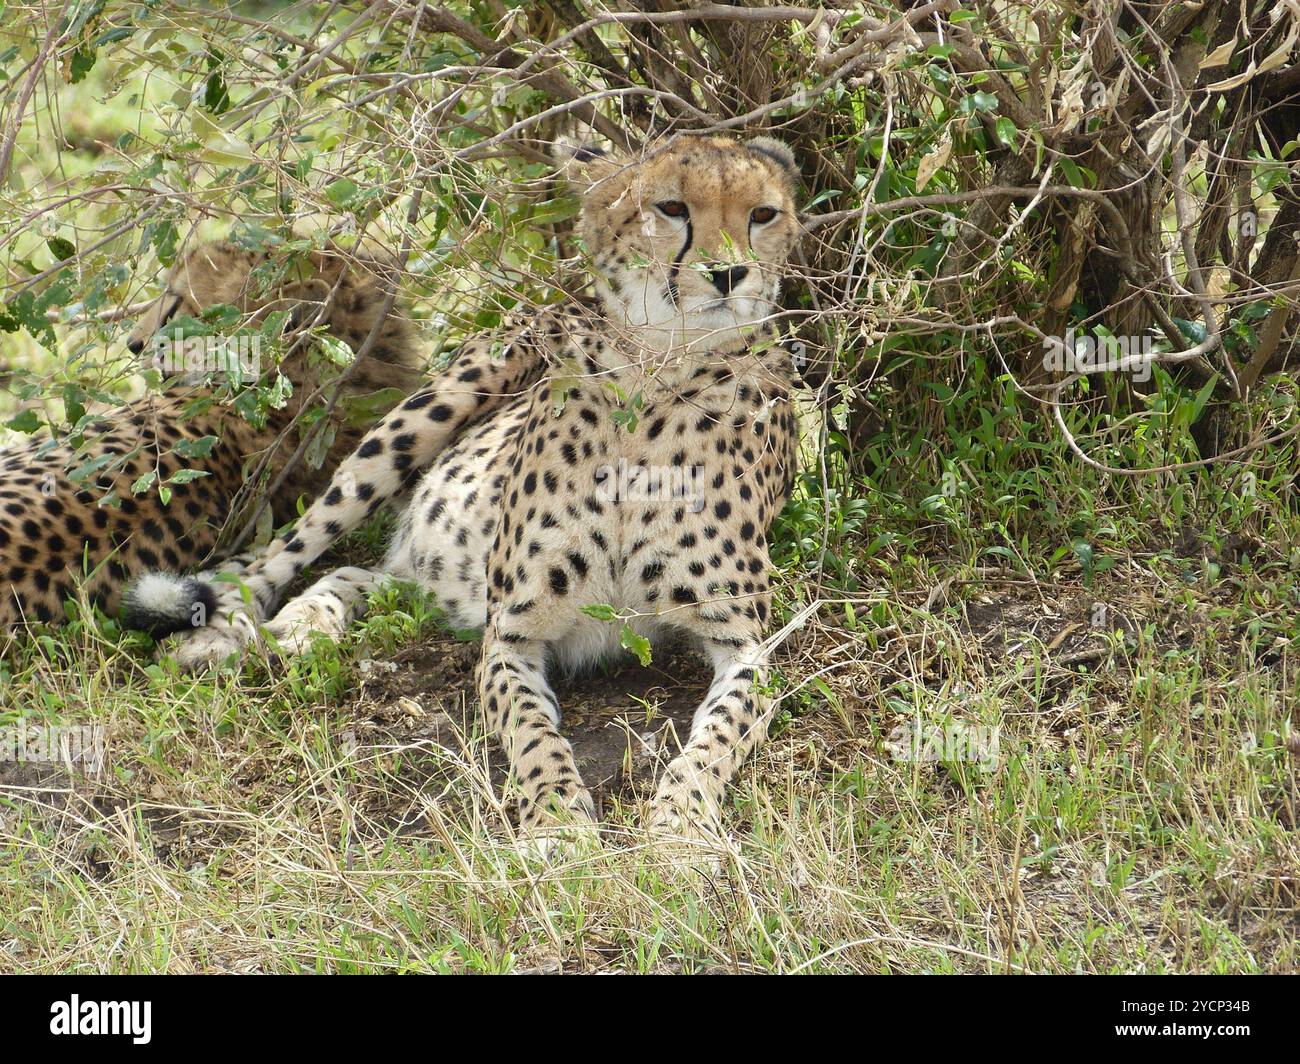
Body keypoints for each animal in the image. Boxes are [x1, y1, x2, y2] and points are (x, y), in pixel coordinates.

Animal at [128, 135, 804, 849]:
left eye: (762, 215)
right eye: (671, 208)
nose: (729, 275)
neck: (661, 373)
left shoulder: (746, 644)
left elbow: (716, 741)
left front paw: (681, 826)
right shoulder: (511, 634)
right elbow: (535, 737)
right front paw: (557, 823)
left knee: (367, 573)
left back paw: (312, 621)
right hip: (424, 415)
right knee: (284, 553)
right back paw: (225, 633)